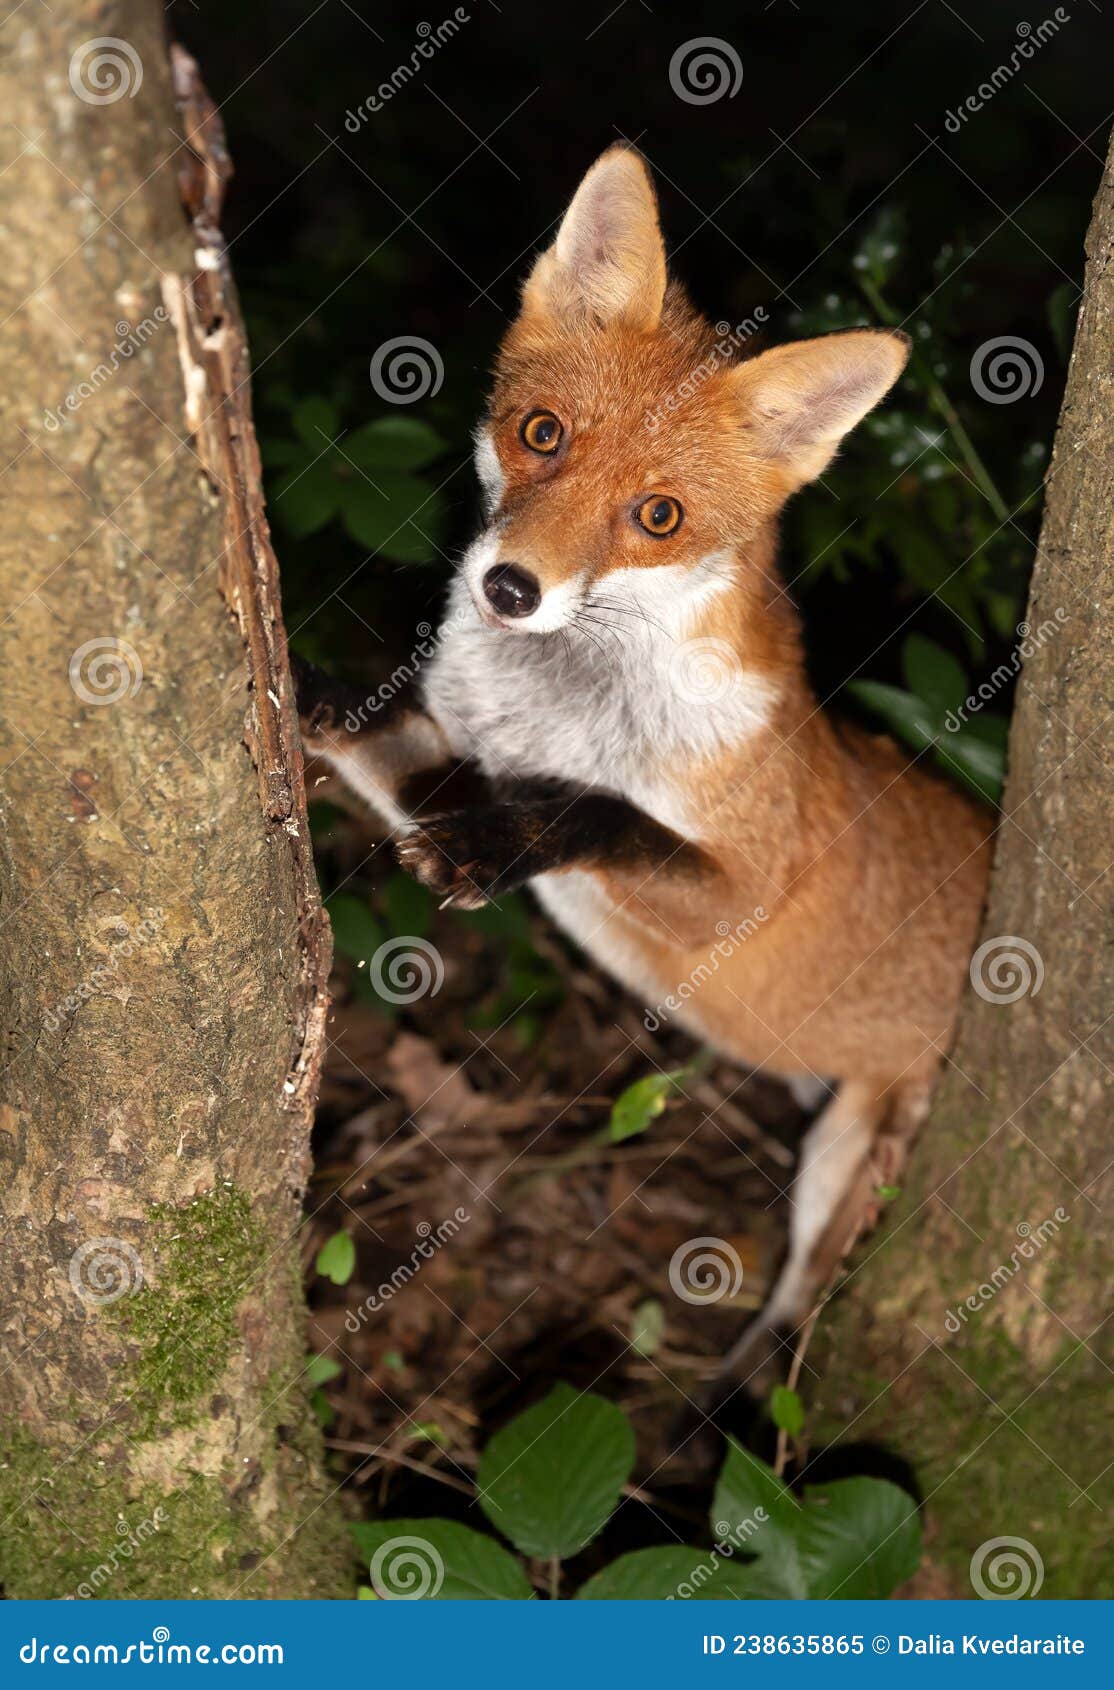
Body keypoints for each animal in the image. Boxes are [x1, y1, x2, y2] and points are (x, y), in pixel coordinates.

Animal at [295, 145, 992, 1372]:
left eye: (657, 516)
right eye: (541, 434)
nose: (509, 588)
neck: (560, 717)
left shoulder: (739, 894)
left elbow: (600, 818)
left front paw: (504, 845)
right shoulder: (451, 761)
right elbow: (397, 749)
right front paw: (310, 695)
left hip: (845, 1166)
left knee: (792, 1324)